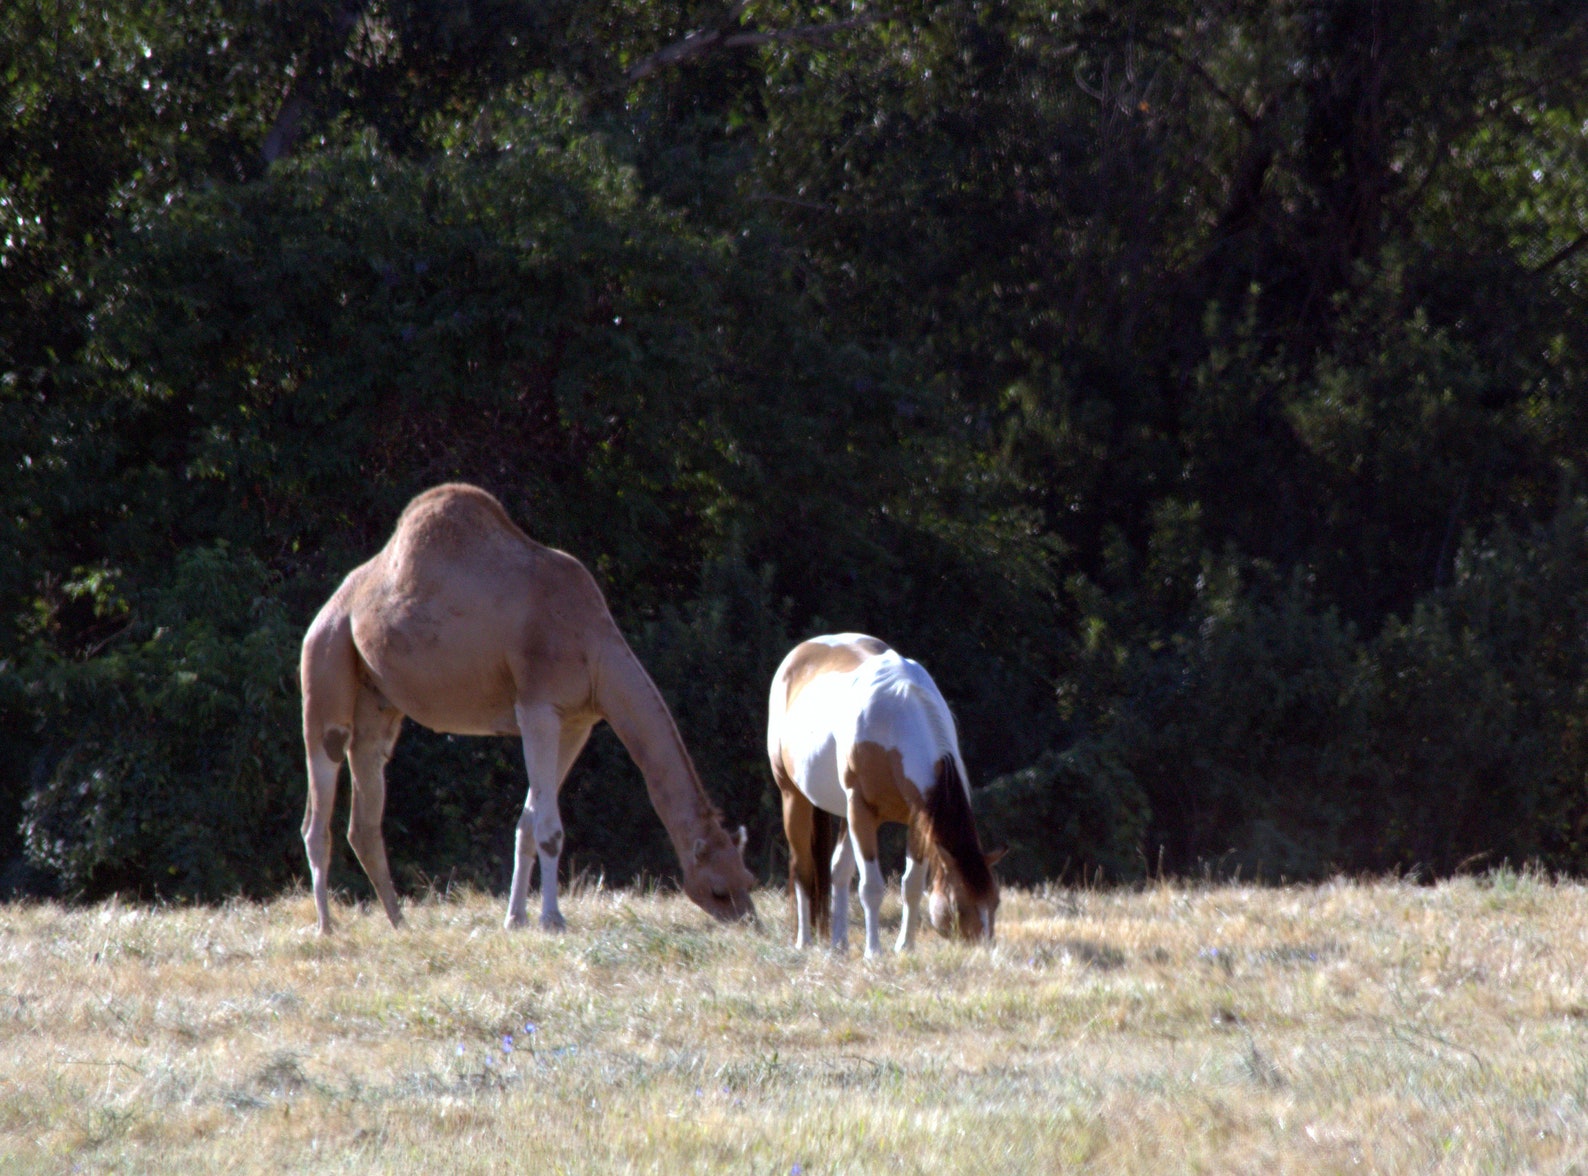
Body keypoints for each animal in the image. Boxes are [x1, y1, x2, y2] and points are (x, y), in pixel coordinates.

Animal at [299, 482, 757, 934]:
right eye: (718, 890)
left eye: (748, 880)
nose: (751, 924)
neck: (595, 646)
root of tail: (332, 606)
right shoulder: (538, 708)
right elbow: (549, 829)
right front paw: (552, 919)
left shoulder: (576, 721)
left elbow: (528, 823)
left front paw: (516, 918)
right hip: (326, 659)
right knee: (317, 810)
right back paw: (326, 927)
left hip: (377, 702)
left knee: (364, 809)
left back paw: (398, 922)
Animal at [766, 633, 1001, 955]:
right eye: (958, 905)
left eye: (996, 902)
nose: (986, 951)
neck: (893, 727)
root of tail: (802, 651)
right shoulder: (862, 812)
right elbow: (871, 887)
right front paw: (874, 952)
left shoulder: (918, 820)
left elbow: (911, 884)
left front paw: (905, 946)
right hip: (795, 799)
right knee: (803, 869)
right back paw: (804, 941)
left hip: (844, 814)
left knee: (838, 870)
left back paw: (839, 944)